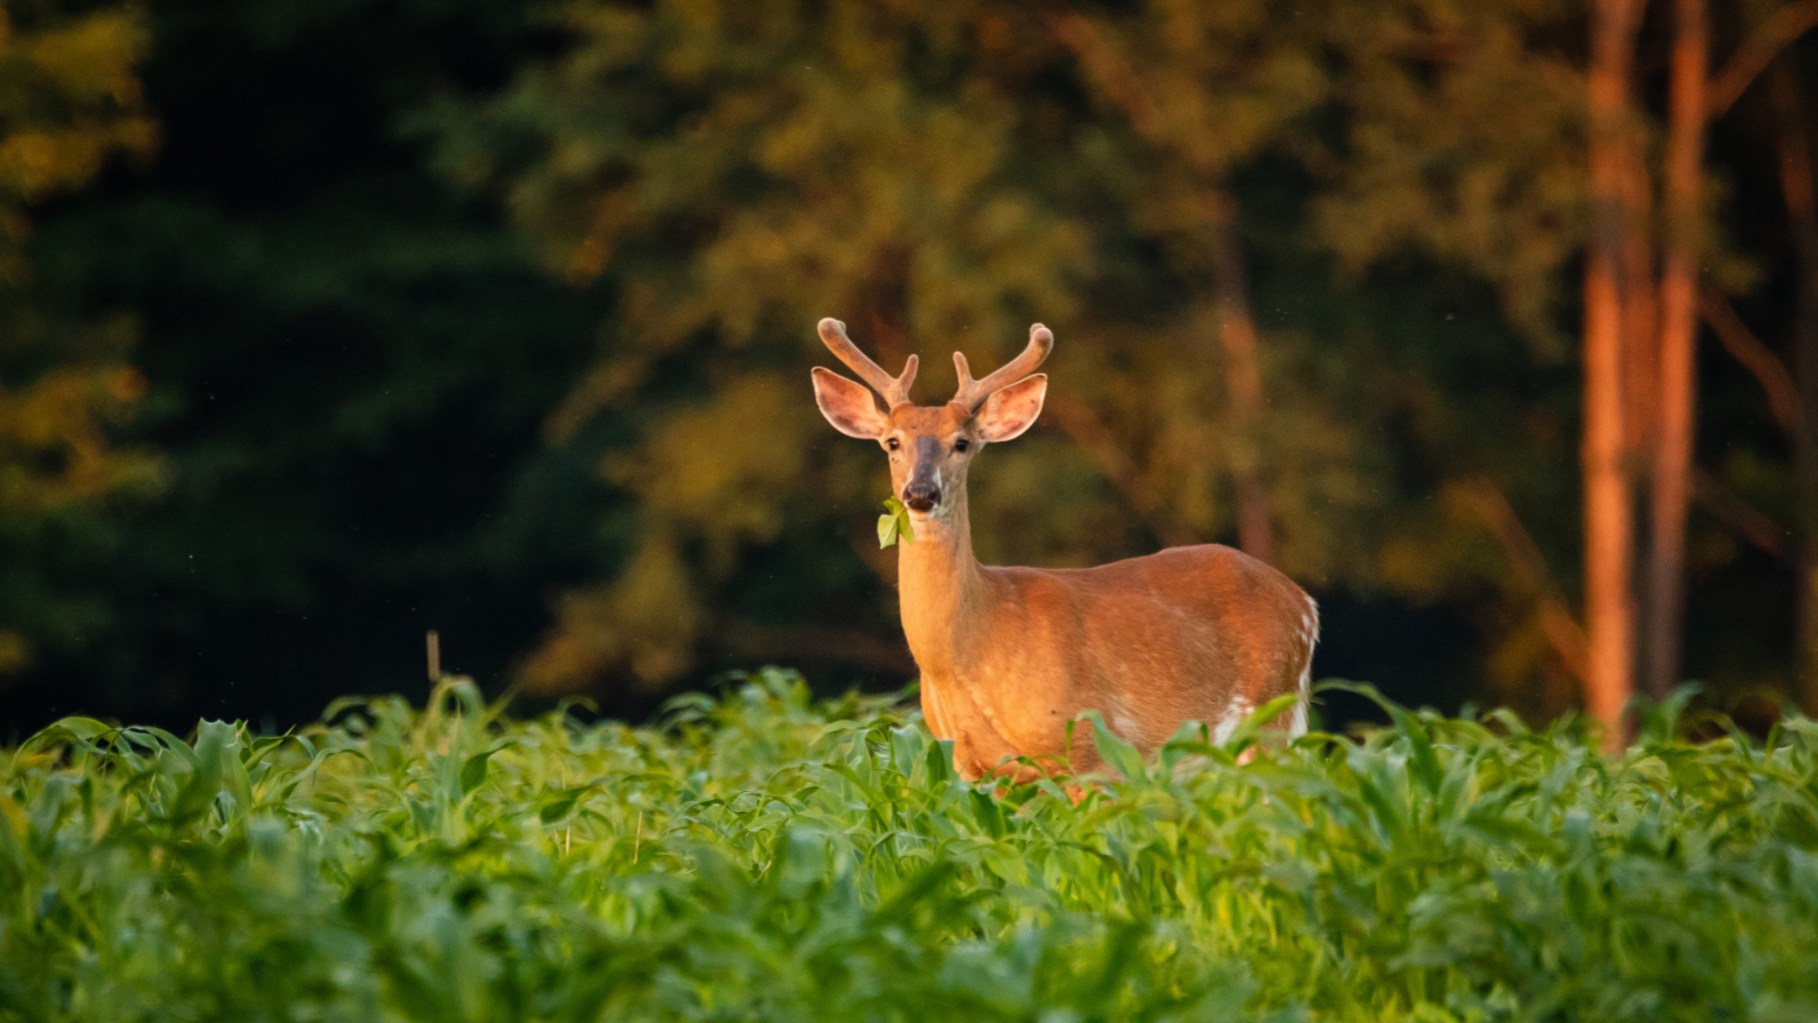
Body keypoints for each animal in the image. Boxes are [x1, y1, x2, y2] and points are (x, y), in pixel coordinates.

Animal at [810, 317, 1318, 783]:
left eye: (963, 443)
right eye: (892, 441)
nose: (920, 493)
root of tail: (1304, 602)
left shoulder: (1091, 750)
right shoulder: (972, 767)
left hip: (1271, 716)